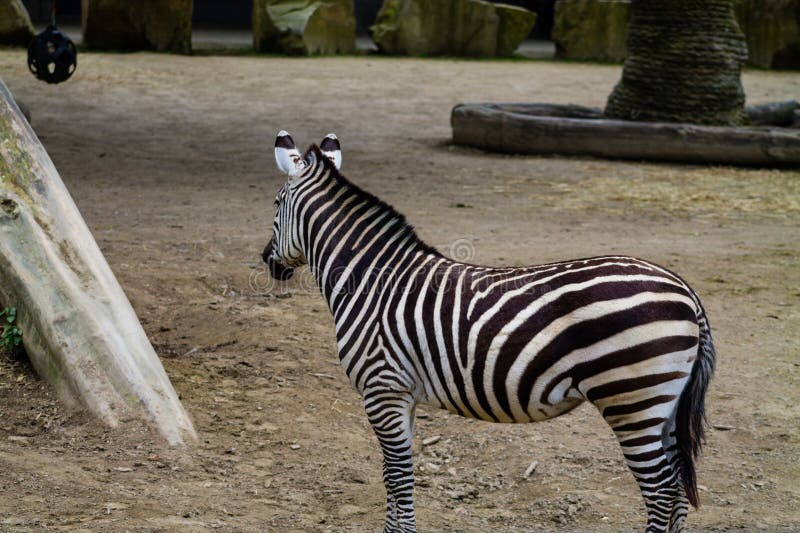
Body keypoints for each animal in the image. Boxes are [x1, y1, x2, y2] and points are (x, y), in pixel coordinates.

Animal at [261, 131, 715, 533]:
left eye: (276, 203)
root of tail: (686, 292)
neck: (372, 280)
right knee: (676, 491)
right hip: (662, 403)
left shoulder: (381, 389)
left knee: (660, 492)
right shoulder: (401, 394)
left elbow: (397, 475)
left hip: (632, 400)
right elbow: (396, 472)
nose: (267, 262)